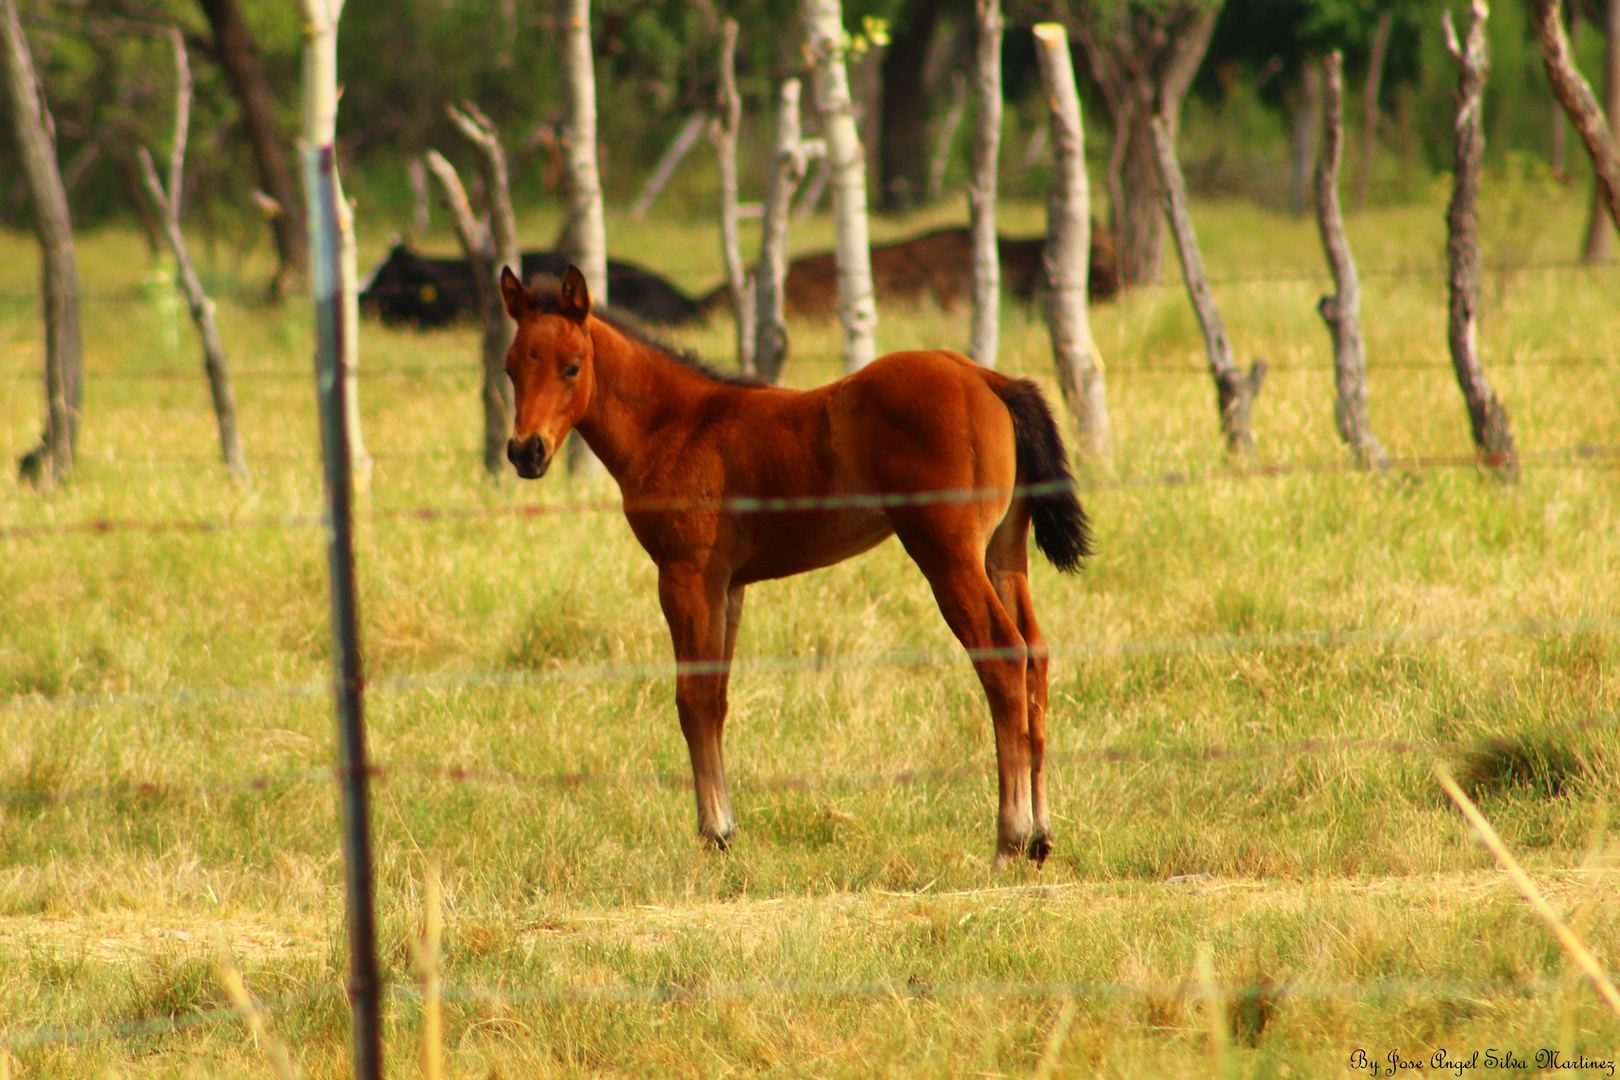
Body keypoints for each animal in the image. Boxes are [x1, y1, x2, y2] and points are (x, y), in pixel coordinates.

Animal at [500, 266, 1091, 865]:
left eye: (572, 366)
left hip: (947, 553)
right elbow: (716, 699)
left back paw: (1010, 838)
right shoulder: (727, 586)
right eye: (510, 366)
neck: (676, 426)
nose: (525, 452)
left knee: (1002, 656)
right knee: (1035, 654)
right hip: (1003, 552)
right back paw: (1041, 836)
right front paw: (725, 828)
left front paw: (713, 833)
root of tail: (989, 379)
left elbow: (691, 698)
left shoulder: (685, 575)